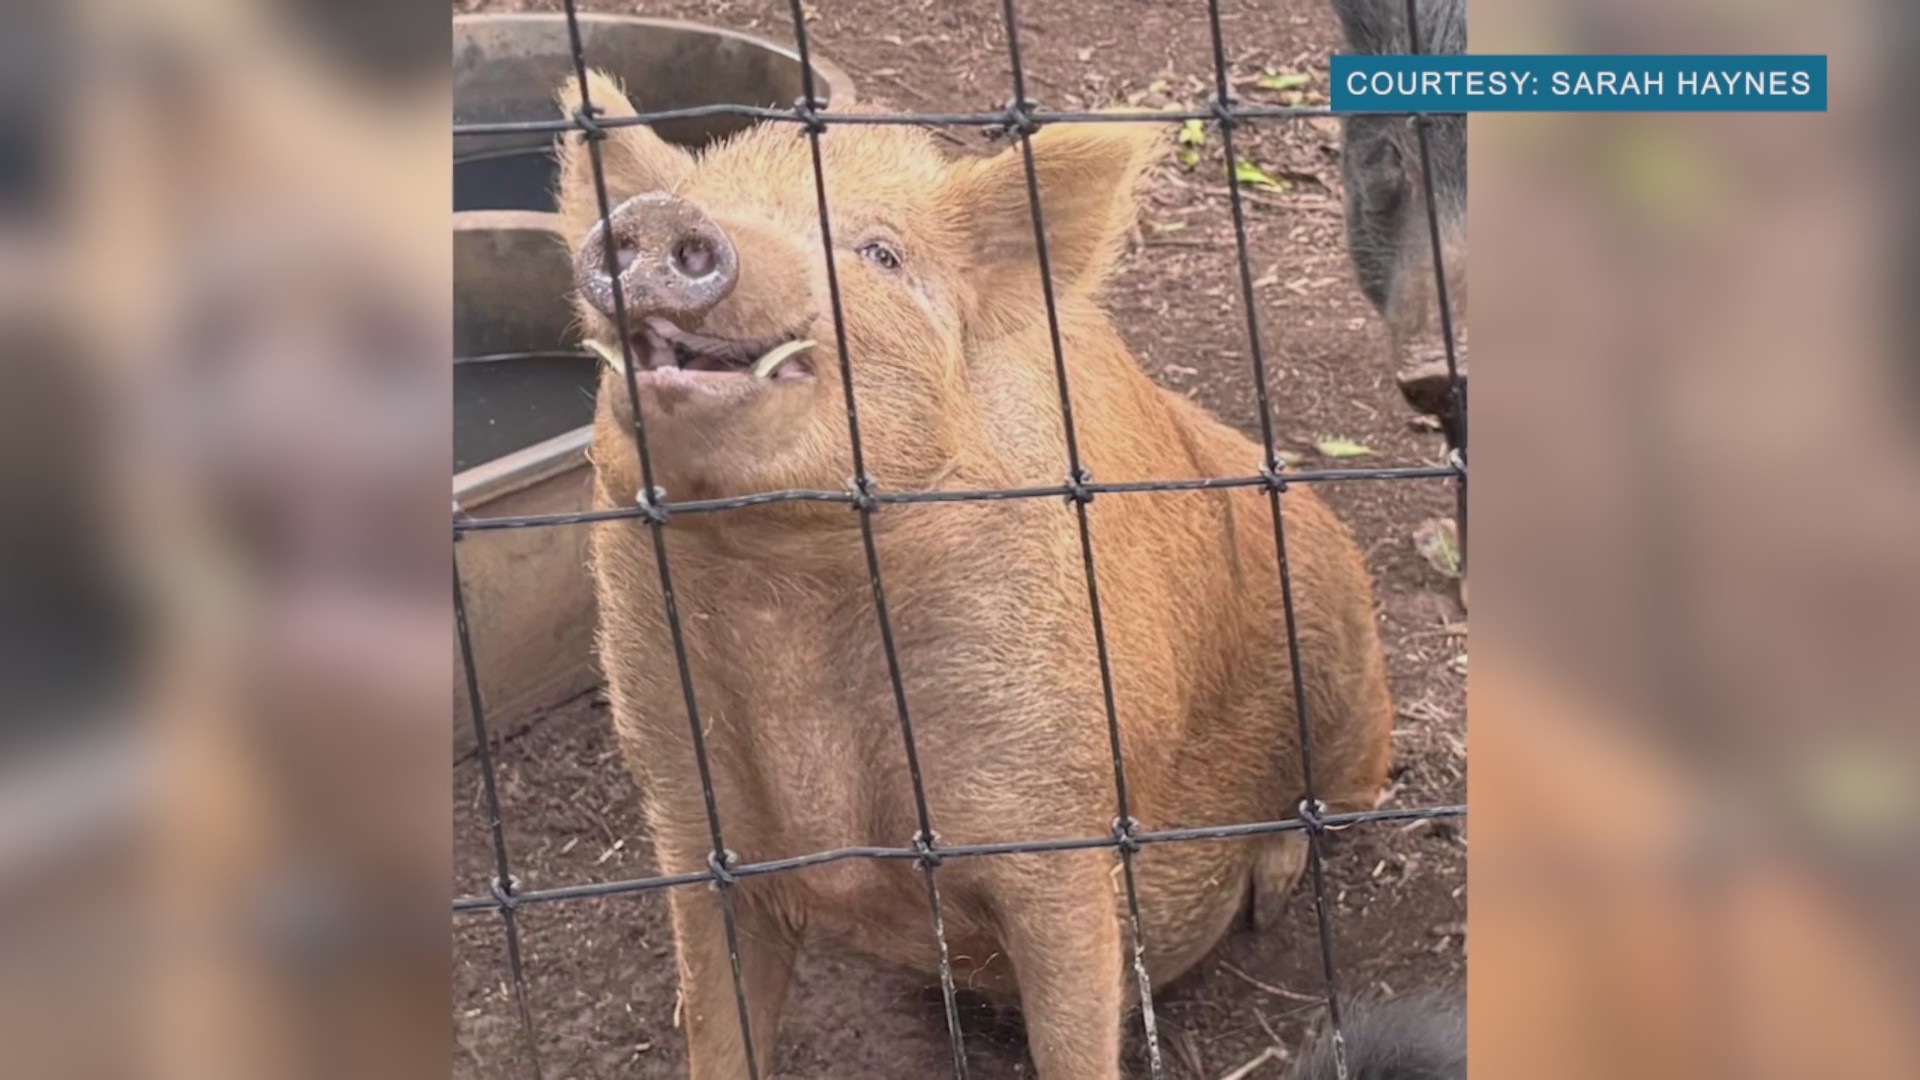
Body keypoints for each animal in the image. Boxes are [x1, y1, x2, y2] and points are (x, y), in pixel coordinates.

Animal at [553, 69, 1394, 1080]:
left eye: (881, 253)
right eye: (695, 195)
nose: (660, 216)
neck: (783, 591)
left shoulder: (1066, 829)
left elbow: (1077, 1028)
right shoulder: (690, 819)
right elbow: (717, 1027)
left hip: (1347, 652)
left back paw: (1271, 894)